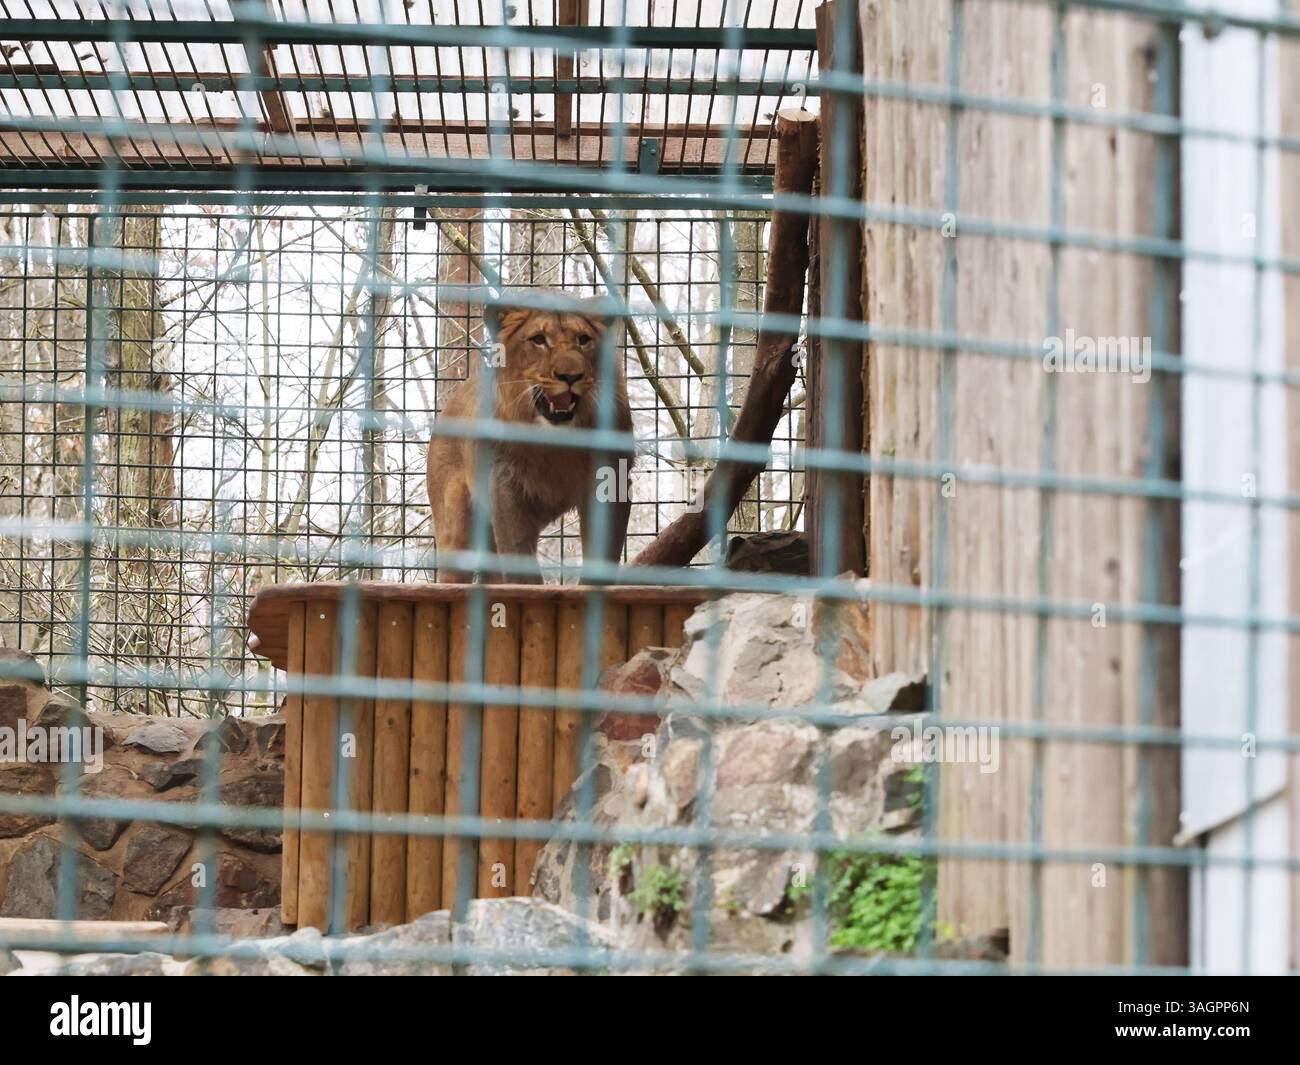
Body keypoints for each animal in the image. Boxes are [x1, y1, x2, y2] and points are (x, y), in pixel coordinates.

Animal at [427, 293, 634, 583]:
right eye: (538, 339)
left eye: (583, 339)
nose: (570, 376)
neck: (555, 443)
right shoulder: (503, 483)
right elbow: (518, 556)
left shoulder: (612, 480)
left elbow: (602, 554)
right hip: (455, 521)